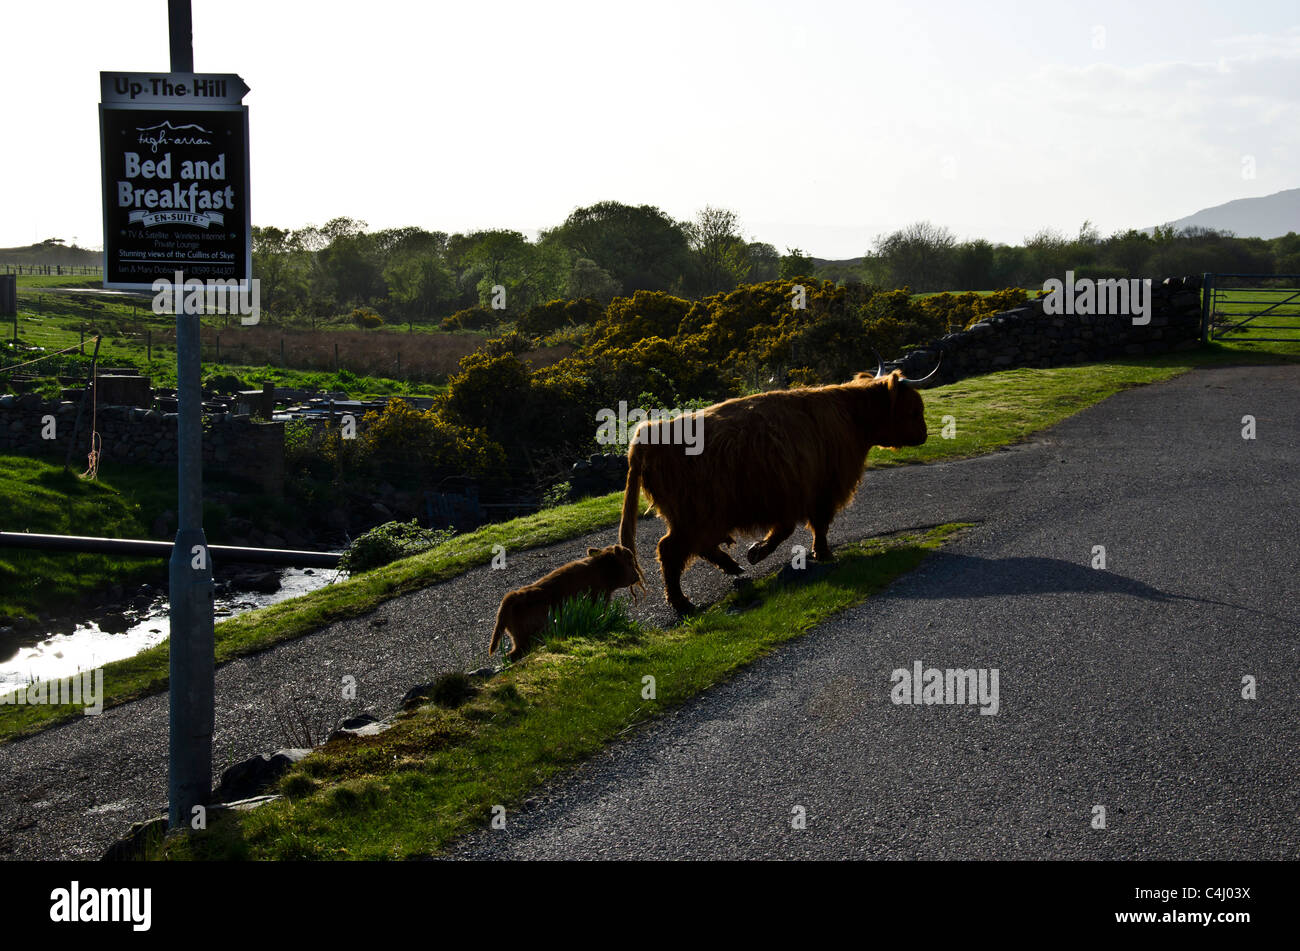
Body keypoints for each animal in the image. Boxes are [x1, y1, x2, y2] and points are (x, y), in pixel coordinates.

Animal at [617, 356, 939, 614]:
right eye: (914, 409)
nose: (924, 435)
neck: (850, 416)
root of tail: (647, 436)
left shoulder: (795, 492)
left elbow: (791, 527)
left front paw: (757, 552)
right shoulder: (820, 487)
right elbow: (811, 525)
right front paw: (817, 553)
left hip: (697, 515)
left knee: (696, 545)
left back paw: (730, 566)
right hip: (694, 514)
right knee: (670, 549)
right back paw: (682, 602)